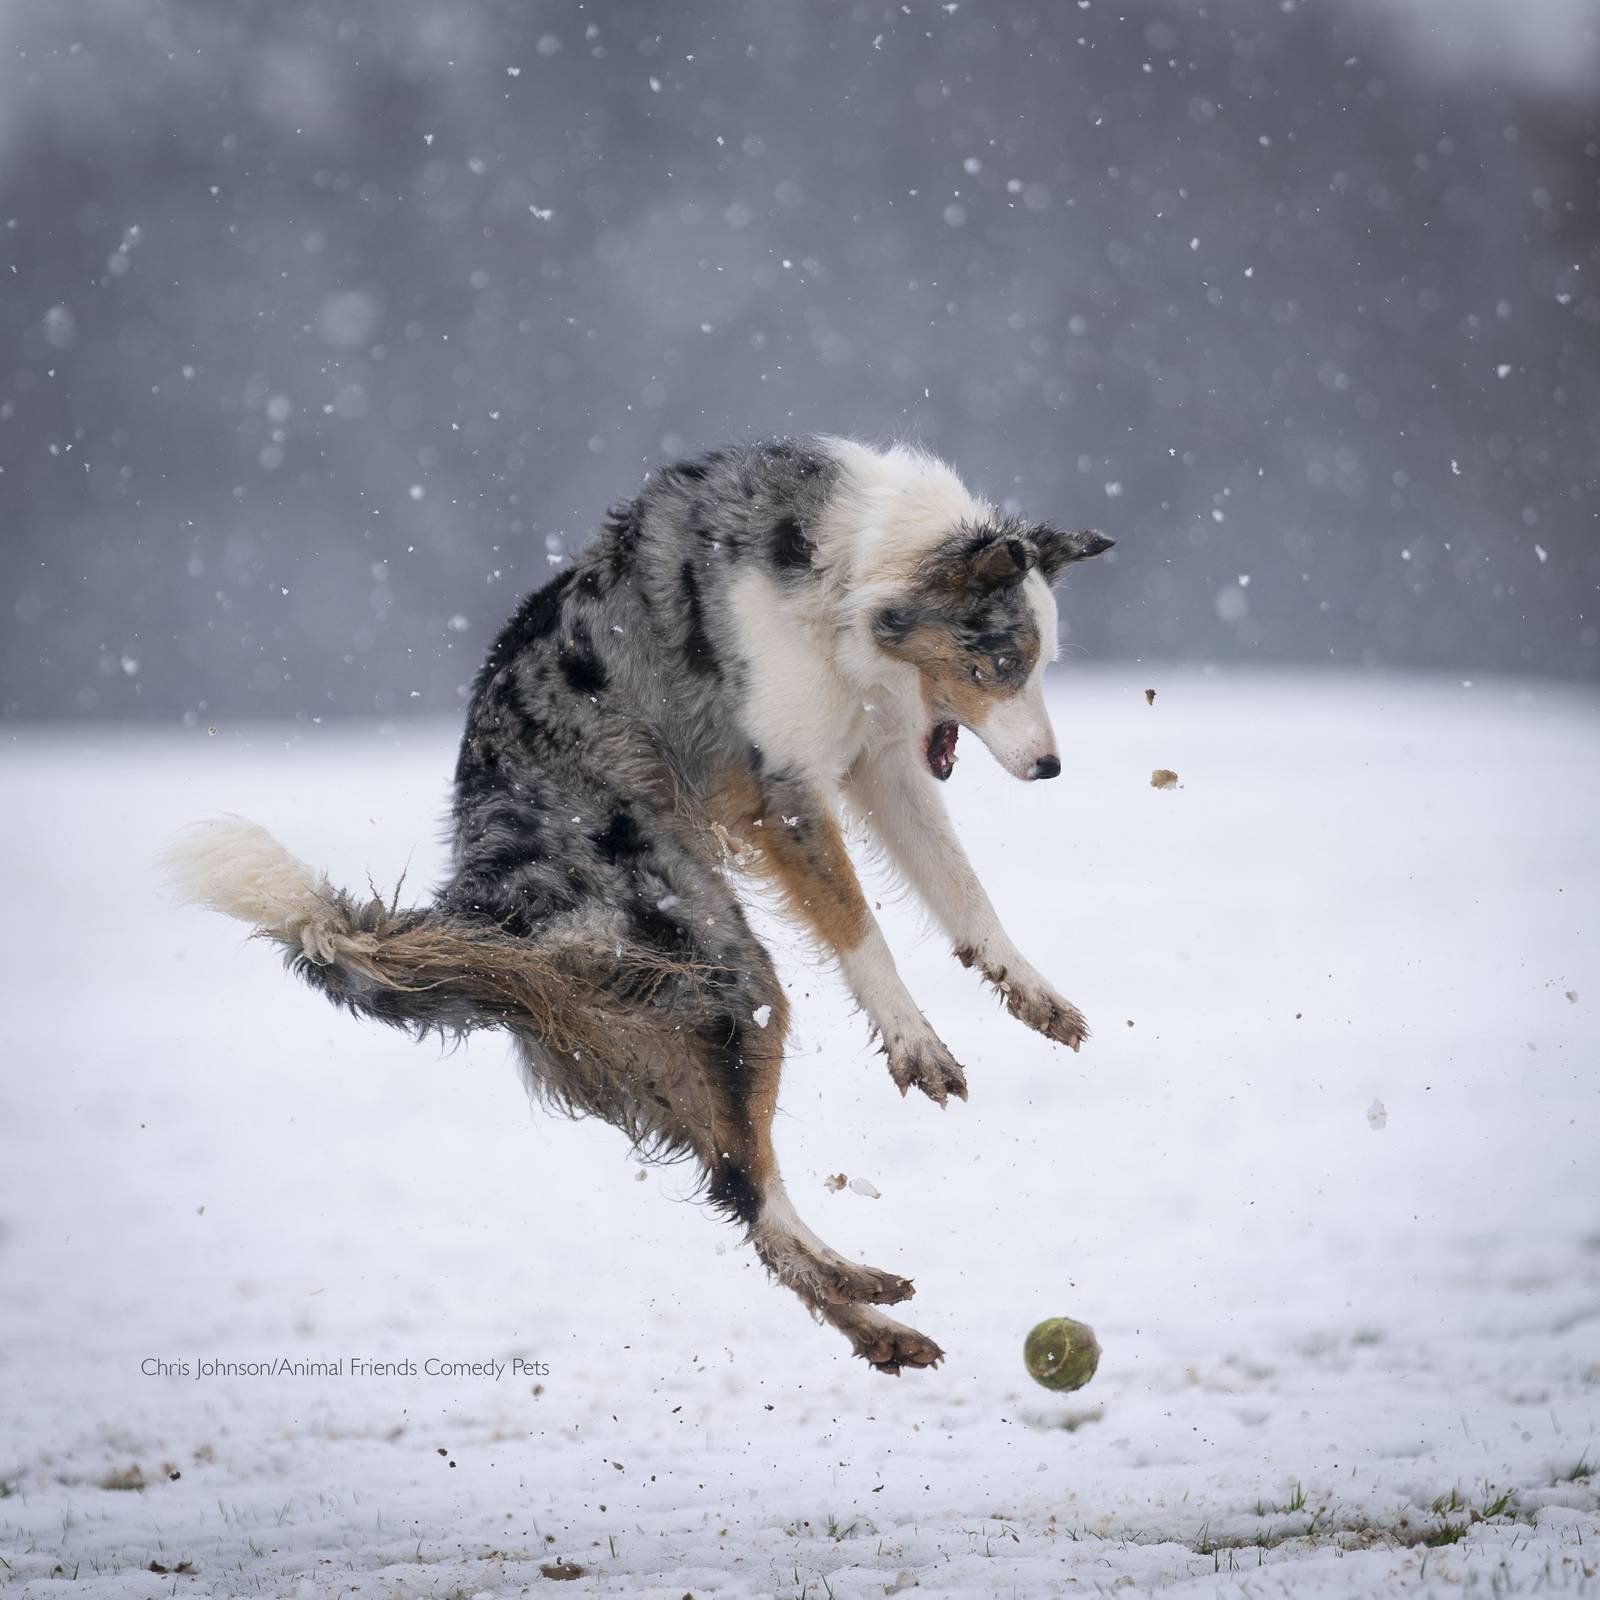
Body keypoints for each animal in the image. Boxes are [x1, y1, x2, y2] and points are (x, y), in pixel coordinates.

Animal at [165, 438, 1113, 1376]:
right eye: (1001, 664)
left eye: (1041, 665)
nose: (1050, 769)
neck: (845, 568)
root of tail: (486, 904)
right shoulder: (785, 792)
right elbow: (860, 928)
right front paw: (916, 1041)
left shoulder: (882, 765)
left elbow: (962, 889)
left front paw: (1030, 990)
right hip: (726, 969)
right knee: (747, 1188)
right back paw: (854, 1278)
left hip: (682, 1023)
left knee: (739, 1191)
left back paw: (878, 1321)